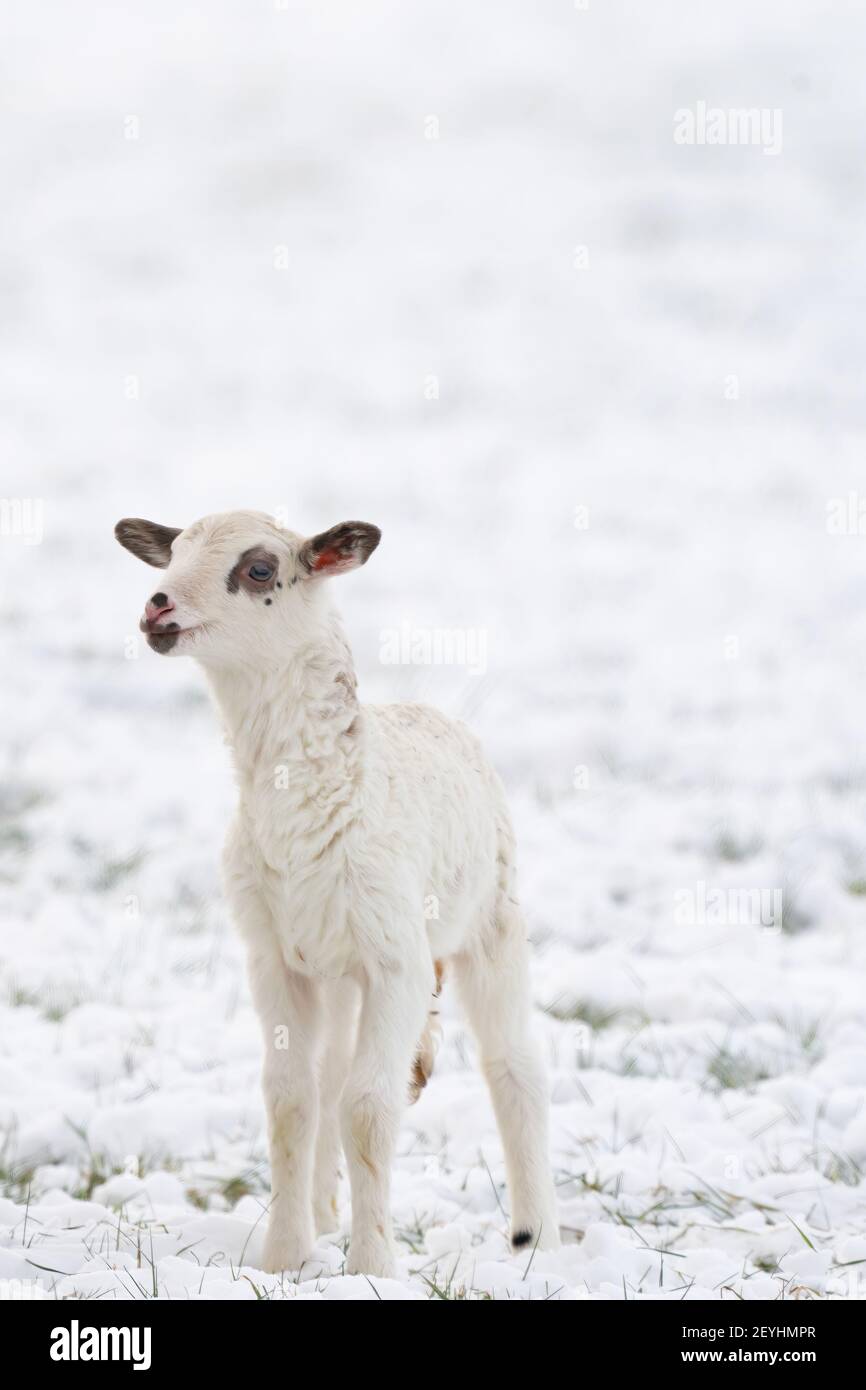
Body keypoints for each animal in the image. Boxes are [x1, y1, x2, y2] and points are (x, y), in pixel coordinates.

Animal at [115, 509, 560, 1279]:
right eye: (171, 555)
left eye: (259, 569)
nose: (156, 606)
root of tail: (433, 712)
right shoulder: (274, 959)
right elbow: (291, 1101)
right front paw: (285, 1258)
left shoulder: (398, 961)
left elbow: (369, 1108)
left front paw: (373, 1266)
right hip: (339, 966)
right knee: (328, 1075)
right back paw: (325, 1214)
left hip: (490, 920)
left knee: (515, 1065)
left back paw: (536, 1242)